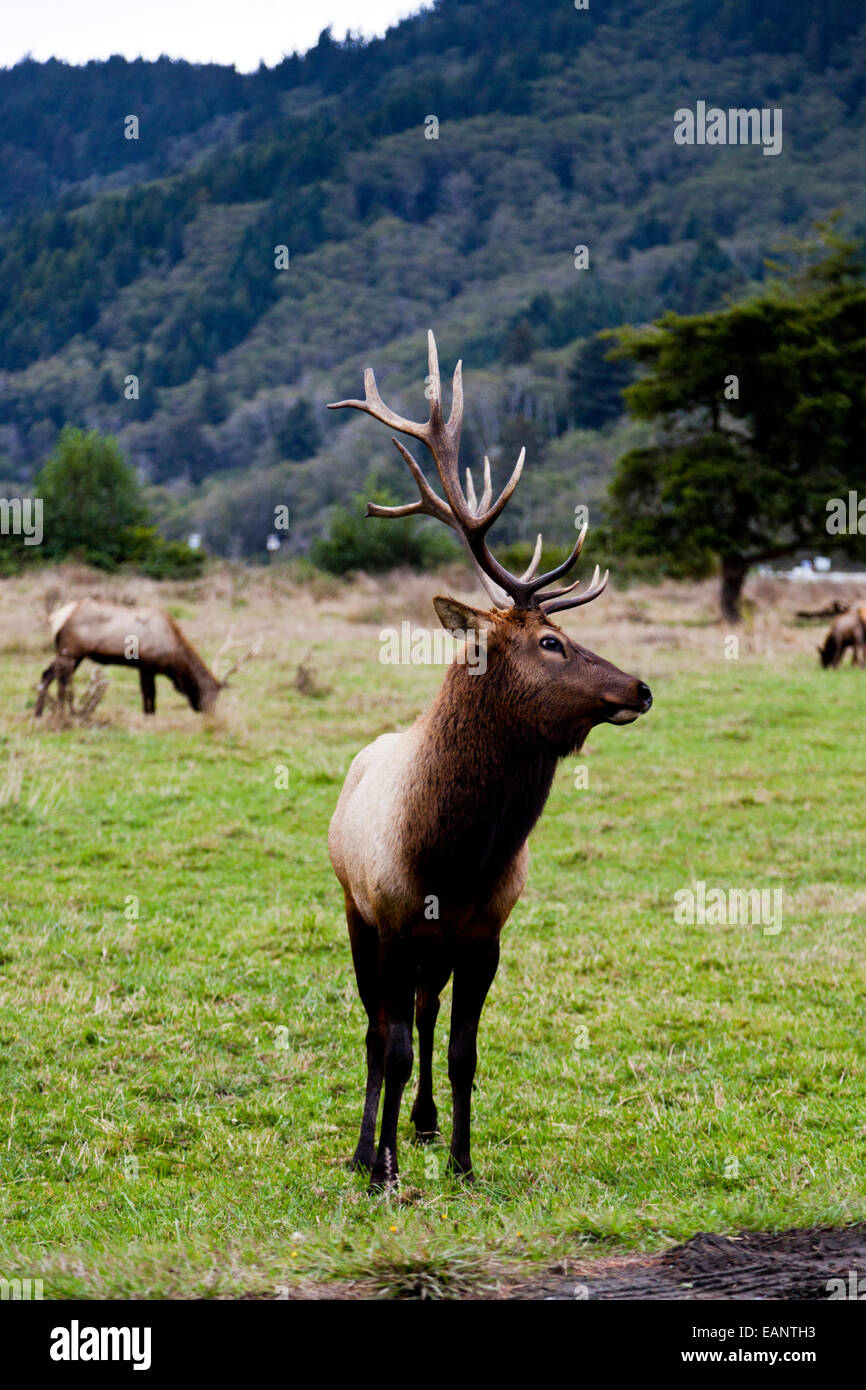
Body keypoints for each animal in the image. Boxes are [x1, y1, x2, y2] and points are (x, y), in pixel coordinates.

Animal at [34, 597, 259, 716]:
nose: (210, 714)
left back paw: (40, 712)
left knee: (47, 675)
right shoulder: (147, 664)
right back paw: (61, 712)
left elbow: (148, 693)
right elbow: (149, 693)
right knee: (60, 680)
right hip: (70, 651)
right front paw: (150, 714)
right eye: (209, 693)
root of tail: (55, 617)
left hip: (72, 654)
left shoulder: (145, 667)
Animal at [326, 331, 653, 1191]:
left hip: (433, 952)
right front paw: (383, 1171)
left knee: (425, 1014)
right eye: (551, 641)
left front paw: (466, 1163)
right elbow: (392, 1048)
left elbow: (464, 1052)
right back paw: (367, 1146)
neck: (455, 855)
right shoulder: (393, 918)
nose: (640, 687)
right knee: (377, 1027)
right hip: (355, 914)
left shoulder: (486, 933)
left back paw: (424, 1126)